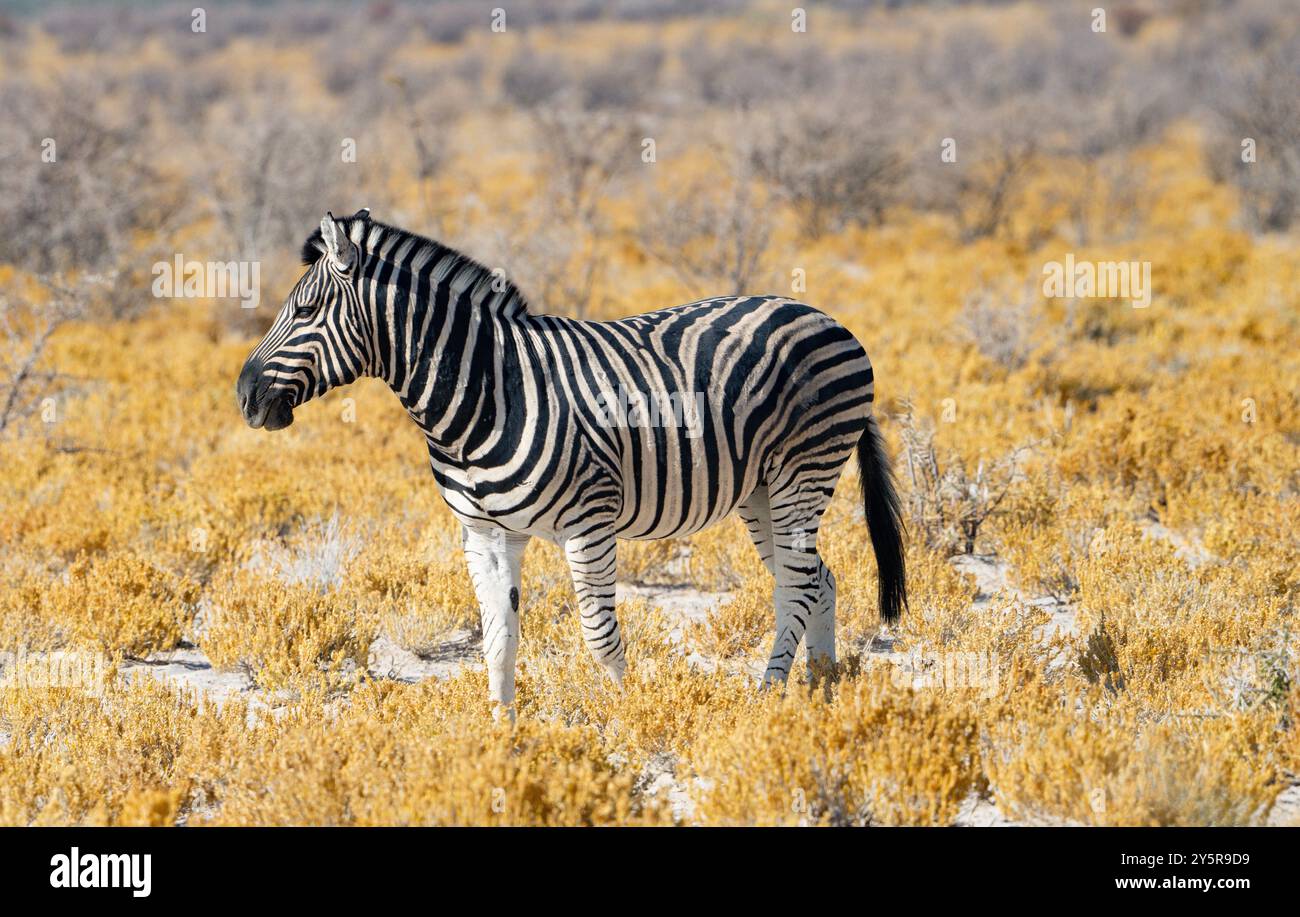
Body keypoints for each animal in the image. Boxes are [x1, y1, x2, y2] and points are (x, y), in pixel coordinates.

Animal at [237, 210, 906, 712]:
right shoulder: (485, 533)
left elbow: (600, 636)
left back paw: (769, 698)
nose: (243, 396)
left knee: (798, 583)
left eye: (302, 312)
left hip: (803, 472)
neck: (487, 391)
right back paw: (818, 692)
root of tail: (825, 317)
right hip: (761, 490)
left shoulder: (590, 524)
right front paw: (500, 737)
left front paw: (630, 717)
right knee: (816, 579)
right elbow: (497, 640)